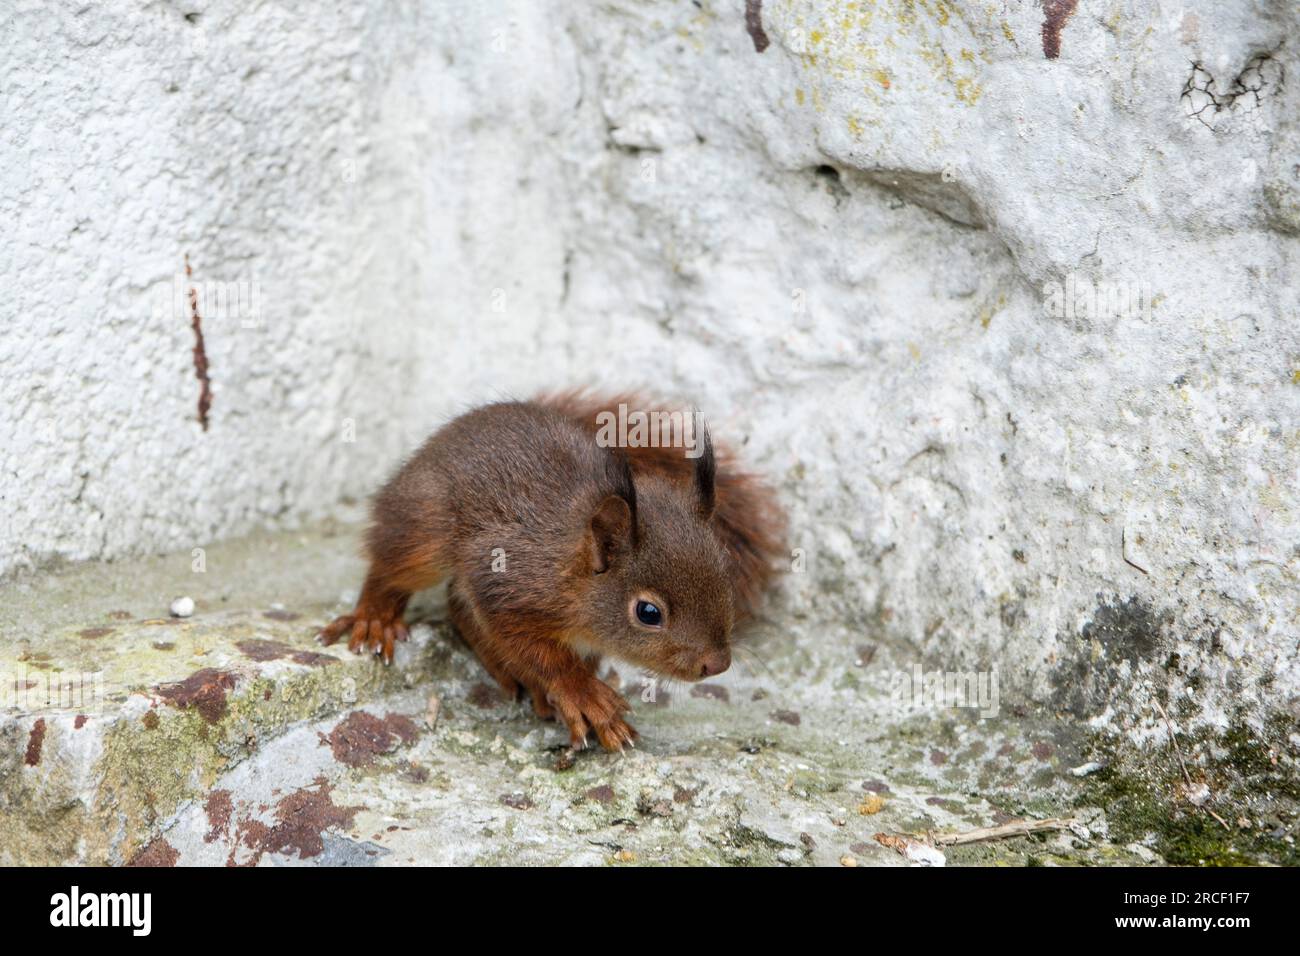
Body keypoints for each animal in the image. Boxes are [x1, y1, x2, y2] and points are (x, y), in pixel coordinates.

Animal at [318, 392, 785, 751]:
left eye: (724, 577)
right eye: (648, 613)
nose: (717, 664)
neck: (571, 572)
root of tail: (432, 446)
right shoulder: (507, 584)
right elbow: (542, 654)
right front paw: (582, 693)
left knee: (455, 602)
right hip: (425, 529)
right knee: (394, 570)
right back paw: (375, 617)